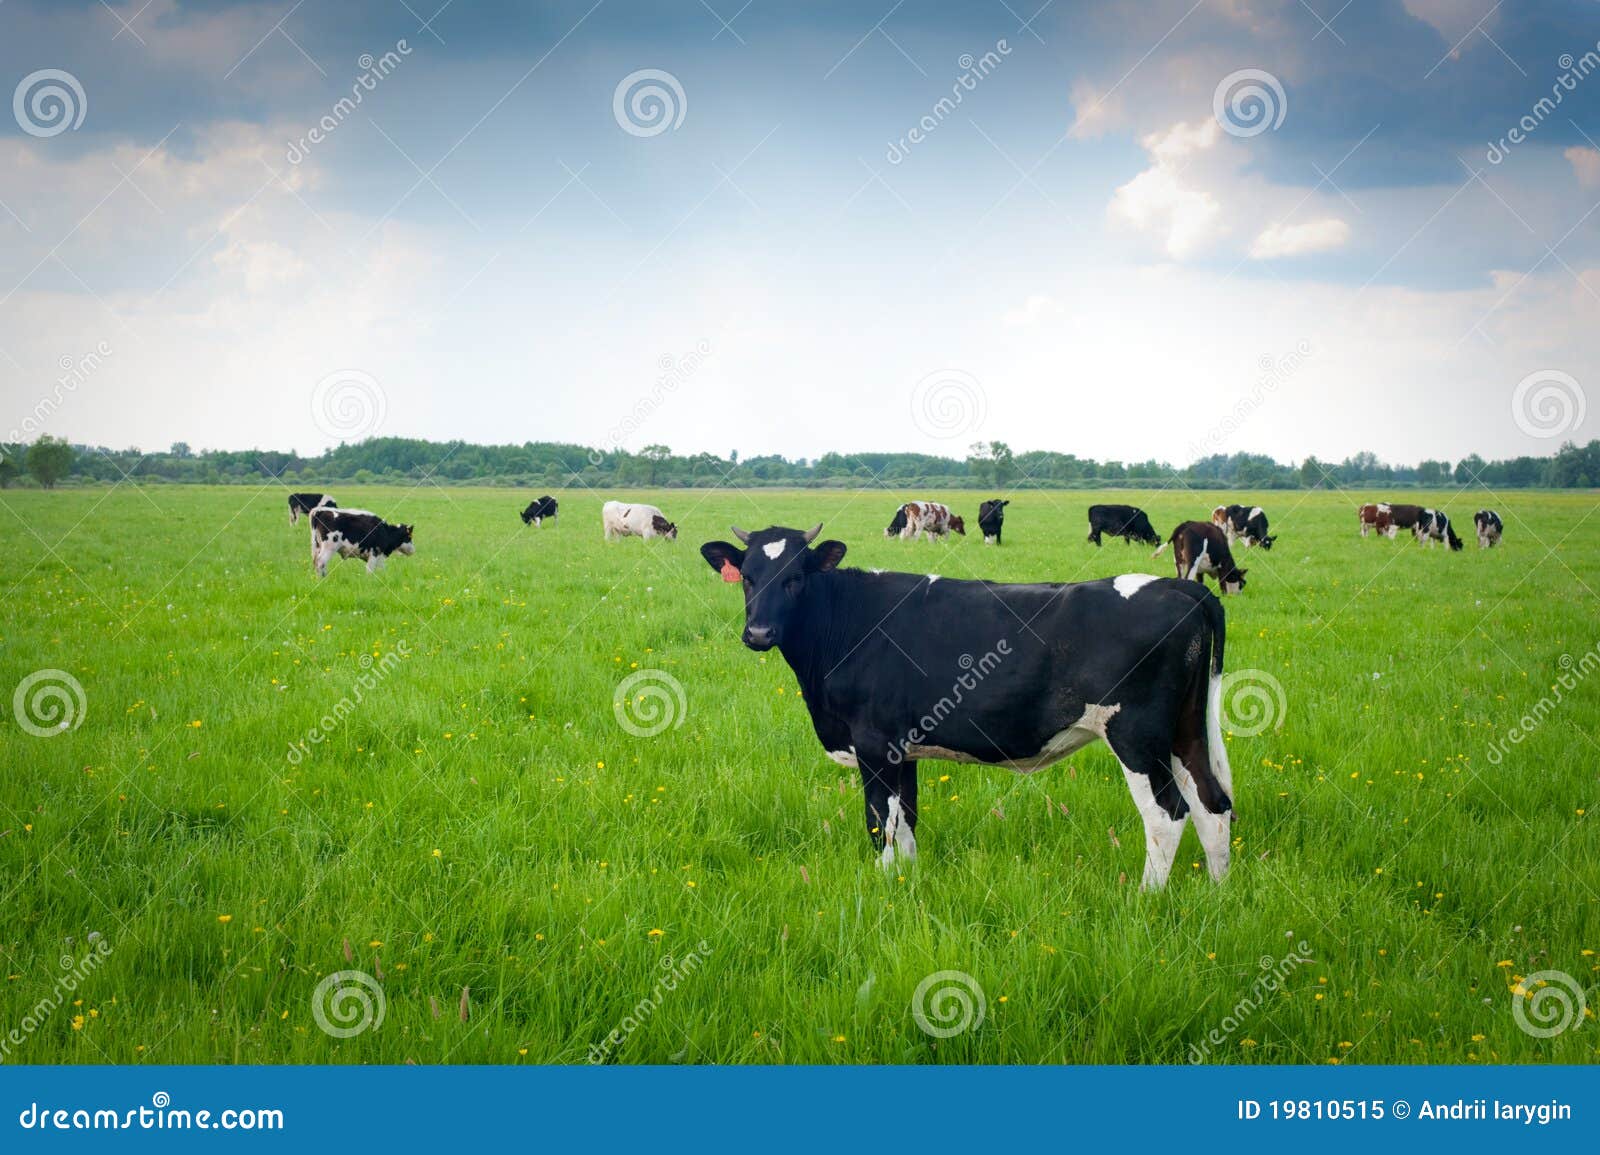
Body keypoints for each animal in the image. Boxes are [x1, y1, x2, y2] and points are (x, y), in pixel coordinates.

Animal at [699, 524, 1235, 888]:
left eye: (794, 578)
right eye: (748, 577)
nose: (758, 633)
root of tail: (1179, 585)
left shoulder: (874, 744)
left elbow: (880, 823)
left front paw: (884, 885)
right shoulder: (904, 748)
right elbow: (907, 820)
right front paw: (908, 883)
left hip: (1136, 735)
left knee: (1167, 813)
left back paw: (1146, 898)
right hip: (1185, 731)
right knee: (1213, 804)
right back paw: (1216, 893)